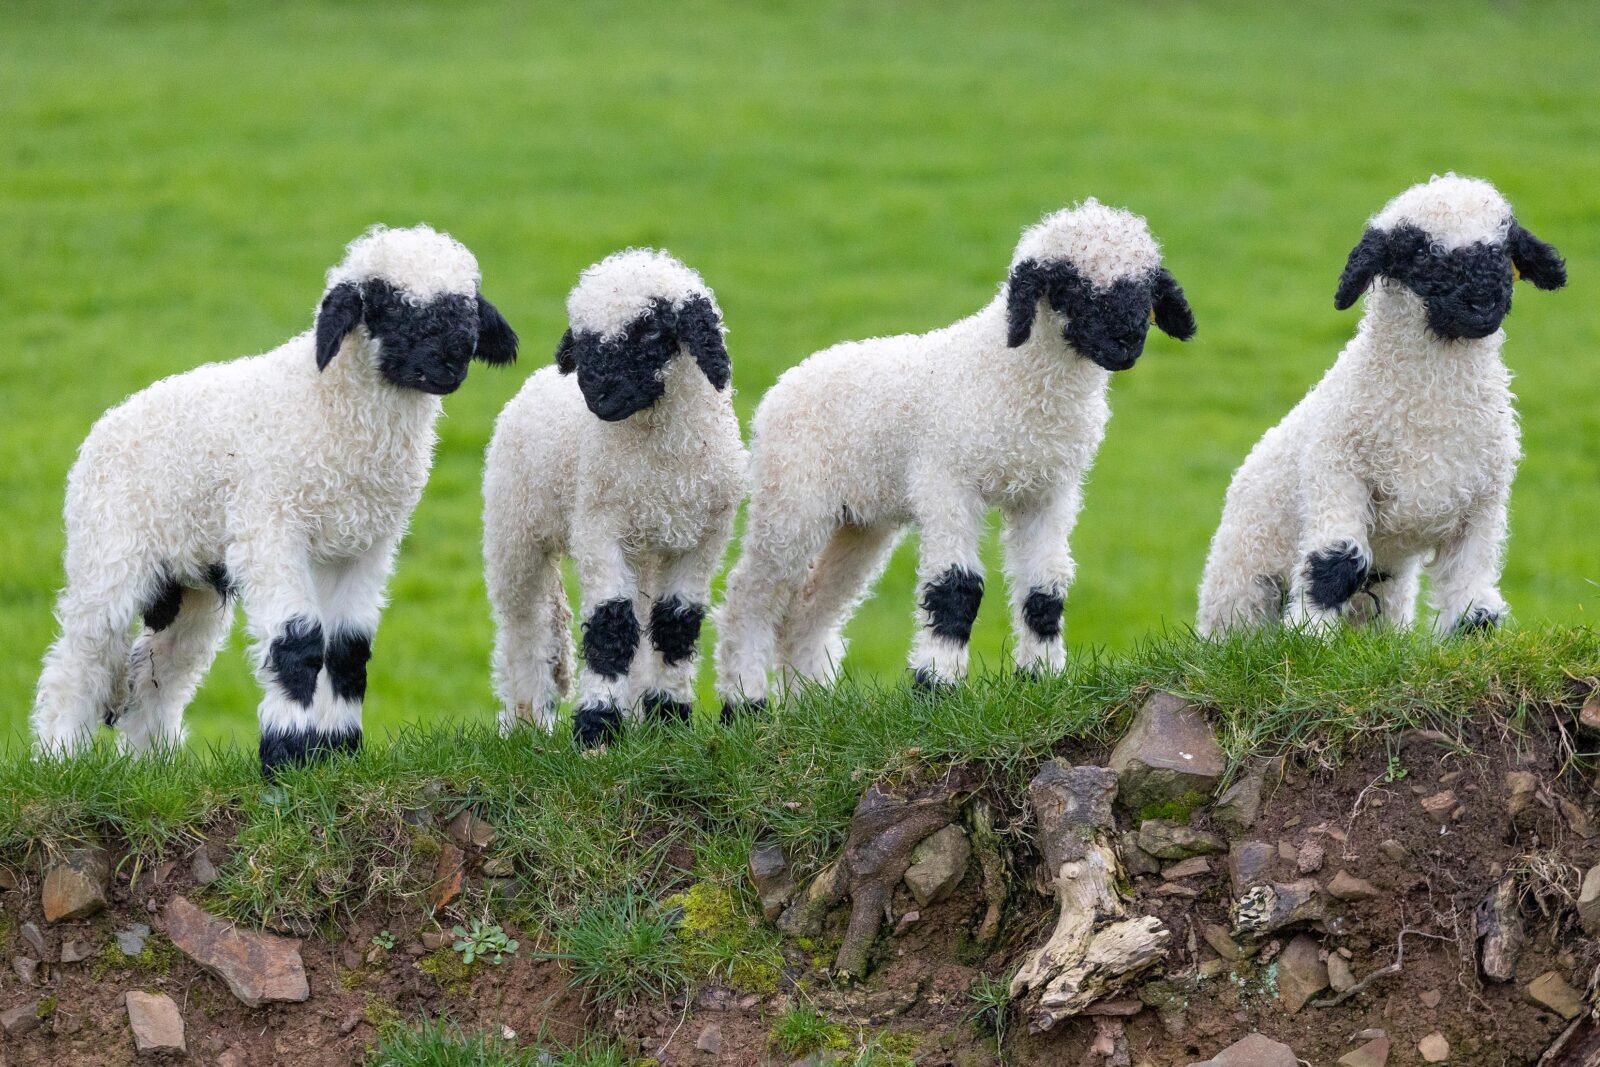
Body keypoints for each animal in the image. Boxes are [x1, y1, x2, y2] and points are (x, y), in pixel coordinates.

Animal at [31, 224, 519, 773]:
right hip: (109, 554)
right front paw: (287, 754)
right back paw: (60, 758)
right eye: (387, 304)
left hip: (190, 584)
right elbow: (298, 642)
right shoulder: (271, 529)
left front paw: (338, 752)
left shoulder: (366, 544)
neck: (326, 405)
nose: (452, 362)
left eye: (468, 305)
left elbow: (347, 650)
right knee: (80, 660)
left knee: (156, 670)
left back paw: (153, 769)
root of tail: (101, 430)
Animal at [483, 249, 745, 748]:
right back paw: (526, 724)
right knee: (524, 626)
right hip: (514, 531)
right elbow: (611, 623)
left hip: (645, 548)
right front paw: (598, 729)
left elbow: (675, 624)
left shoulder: (703, 540)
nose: (598, 395)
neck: (664, 459)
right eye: (582, 337)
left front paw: (668, 721)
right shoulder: (599, 529)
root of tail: (537, 380)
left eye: (652, 330)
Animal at [715, 200, 1195, 709]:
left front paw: (1041, 680)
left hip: (860, 522)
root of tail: (784, 384)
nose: (1128, 339)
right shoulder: (947, 482)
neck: (1013, 375)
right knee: (749, 597)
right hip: (792, 499)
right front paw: (936, 689)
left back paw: (813, 704)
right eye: (1069, 284)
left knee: (809, 608)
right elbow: (956, 587)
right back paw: (744, 706)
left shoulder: (1049, 491)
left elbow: (1044, 589)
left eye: (1146, 284)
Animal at [1196, 174, 1566, 638]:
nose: (1482, 302)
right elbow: (1337, 562)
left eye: (1500, 250)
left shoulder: (1483, 499)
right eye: (1421, 253)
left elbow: (1470, 579)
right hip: (1242, 576)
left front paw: (1474, 634)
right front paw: (1311, 637)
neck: (1431, 407)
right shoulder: (1337, 468)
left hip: (1388, 591)